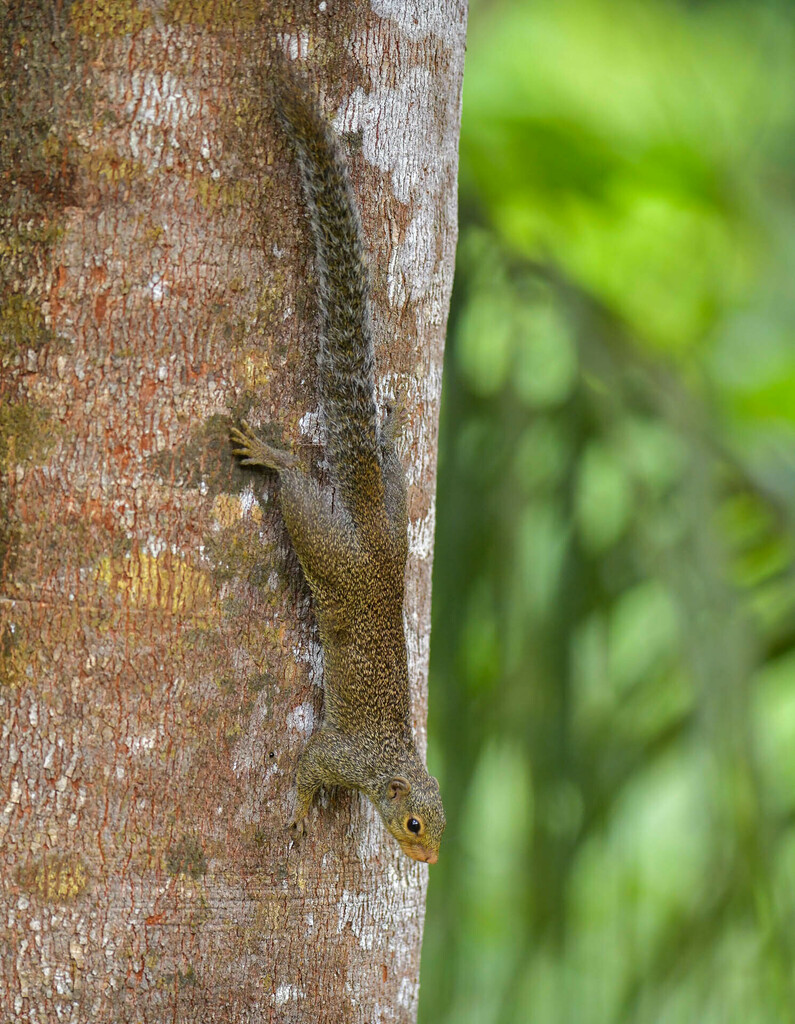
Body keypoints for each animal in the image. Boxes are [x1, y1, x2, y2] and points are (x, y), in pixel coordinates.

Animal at [232, 65, 446, 865]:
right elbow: (305, 769)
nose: (430, 859)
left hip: (395, 514)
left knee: (389, 473)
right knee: (296, 487)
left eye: (441, 823)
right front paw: (296, 813)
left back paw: (389, 433)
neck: (389, 761)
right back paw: (273, 454)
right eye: (413, 825)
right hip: (325, 541)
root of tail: (374, 532)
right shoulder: (339, 753)